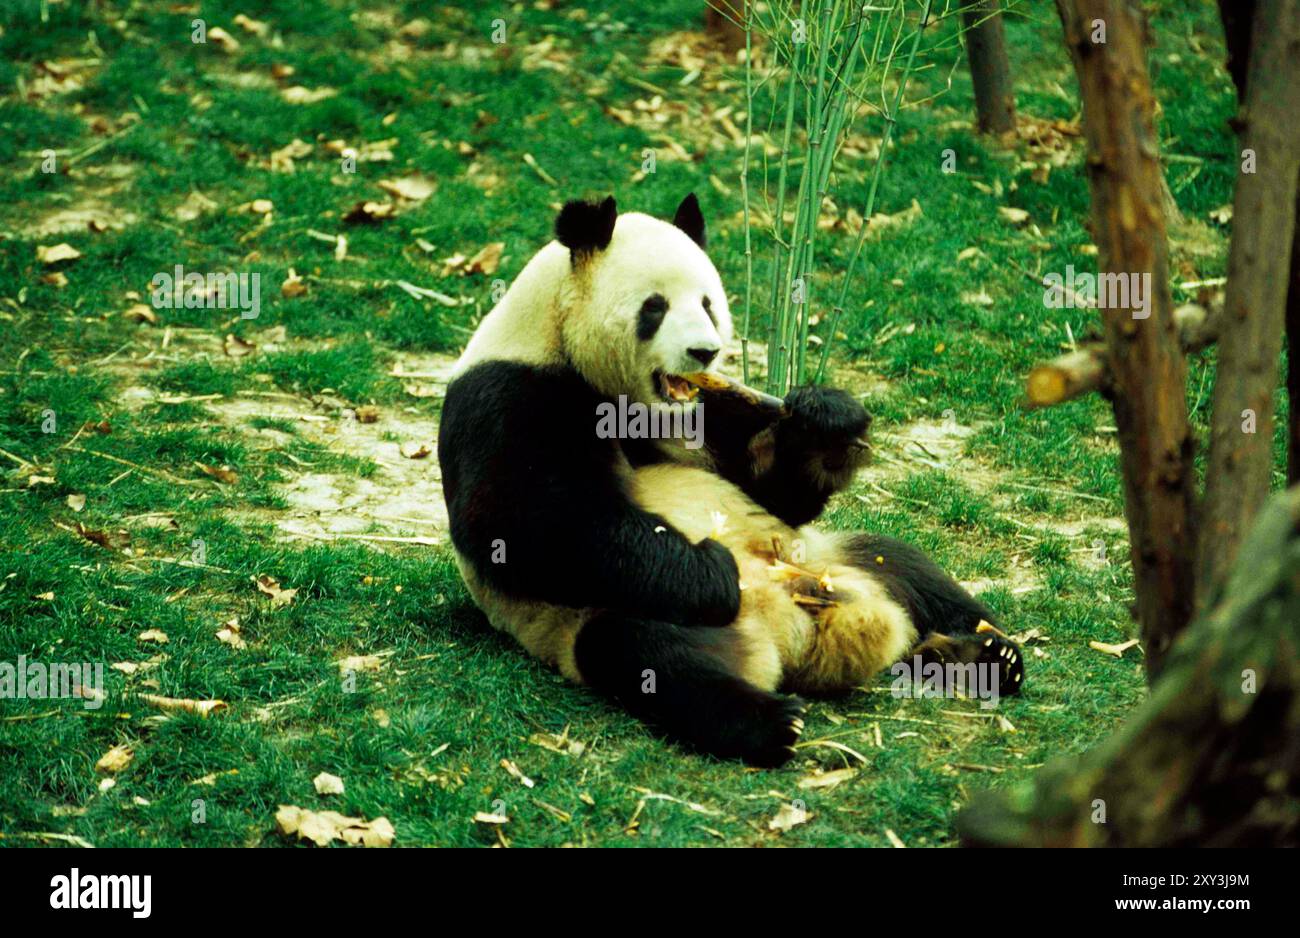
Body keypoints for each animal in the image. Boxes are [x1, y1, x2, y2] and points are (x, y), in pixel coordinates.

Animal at [438, 194, 1024, 767]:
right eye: (655, 307)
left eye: (707, 304)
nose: (704, 351)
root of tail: (792, 641)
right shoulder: (510, 393)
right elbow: (526, 526)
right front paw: (713, 566)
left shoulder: (710, 410)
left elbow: (775, 492)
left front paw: (825, 419)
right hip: (597, 617)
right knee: (647, 653)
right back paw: (771, 722)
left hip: (832, 557)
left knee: (906, 565)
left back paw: (986, 653)